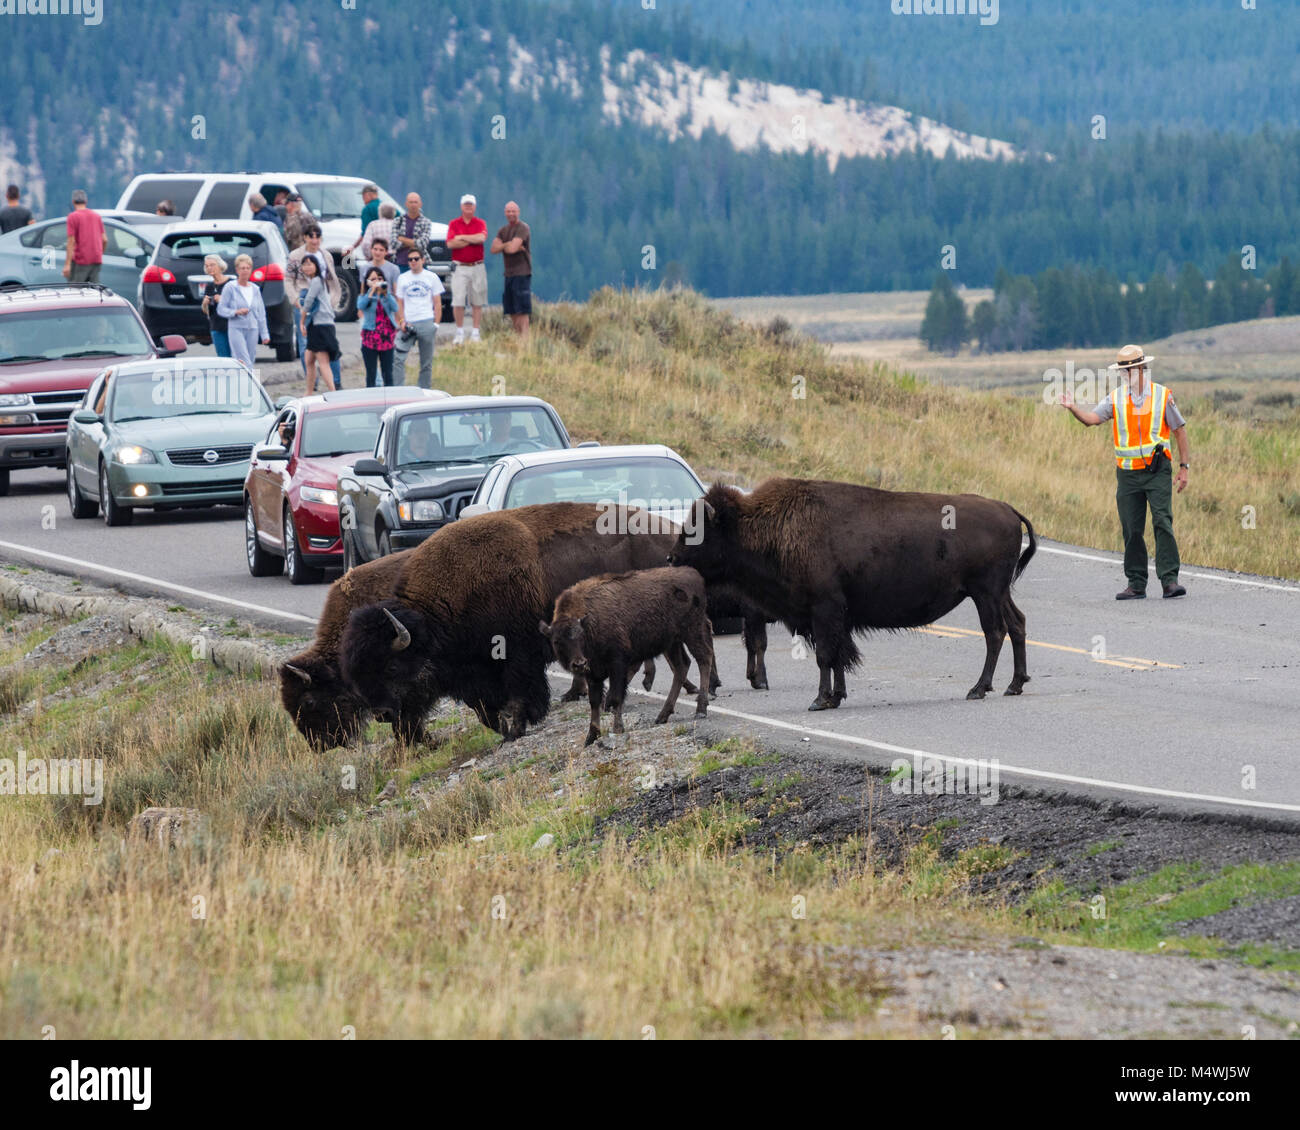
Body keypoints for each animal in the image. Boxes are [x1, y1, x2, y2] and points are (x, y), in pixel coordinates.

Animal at [540, 569, 717, 743]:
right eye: (556, 641)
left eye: (580, 636)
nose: (579, 664)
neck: (590, 621)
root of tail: (693, 574)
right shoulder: (593, 674)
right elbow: (594, 702)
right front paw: (591, 736)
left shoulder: (617, 665)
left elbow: (616, 697)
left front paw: (617, 729)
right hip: (673, 643)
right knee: (682, 667)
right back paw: (662, 716)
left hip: (692, 632)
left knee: (704, 659)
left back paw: (701, 709)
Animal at [670, 473, 1034, 707]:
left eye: (698, 530)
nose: (672, 558)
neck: (767, 525)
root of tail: (1007, 509)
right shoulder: (831, 617)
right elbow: (837, 656)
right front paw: (836, 697)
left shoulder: (823, 610)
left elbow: (826, 656)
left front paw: (819, 700)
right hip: (999, 593)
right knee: (1017, 624)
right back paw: (1014, 685)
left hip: (985, 594)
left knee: (995, 632)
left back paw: (979, 689)